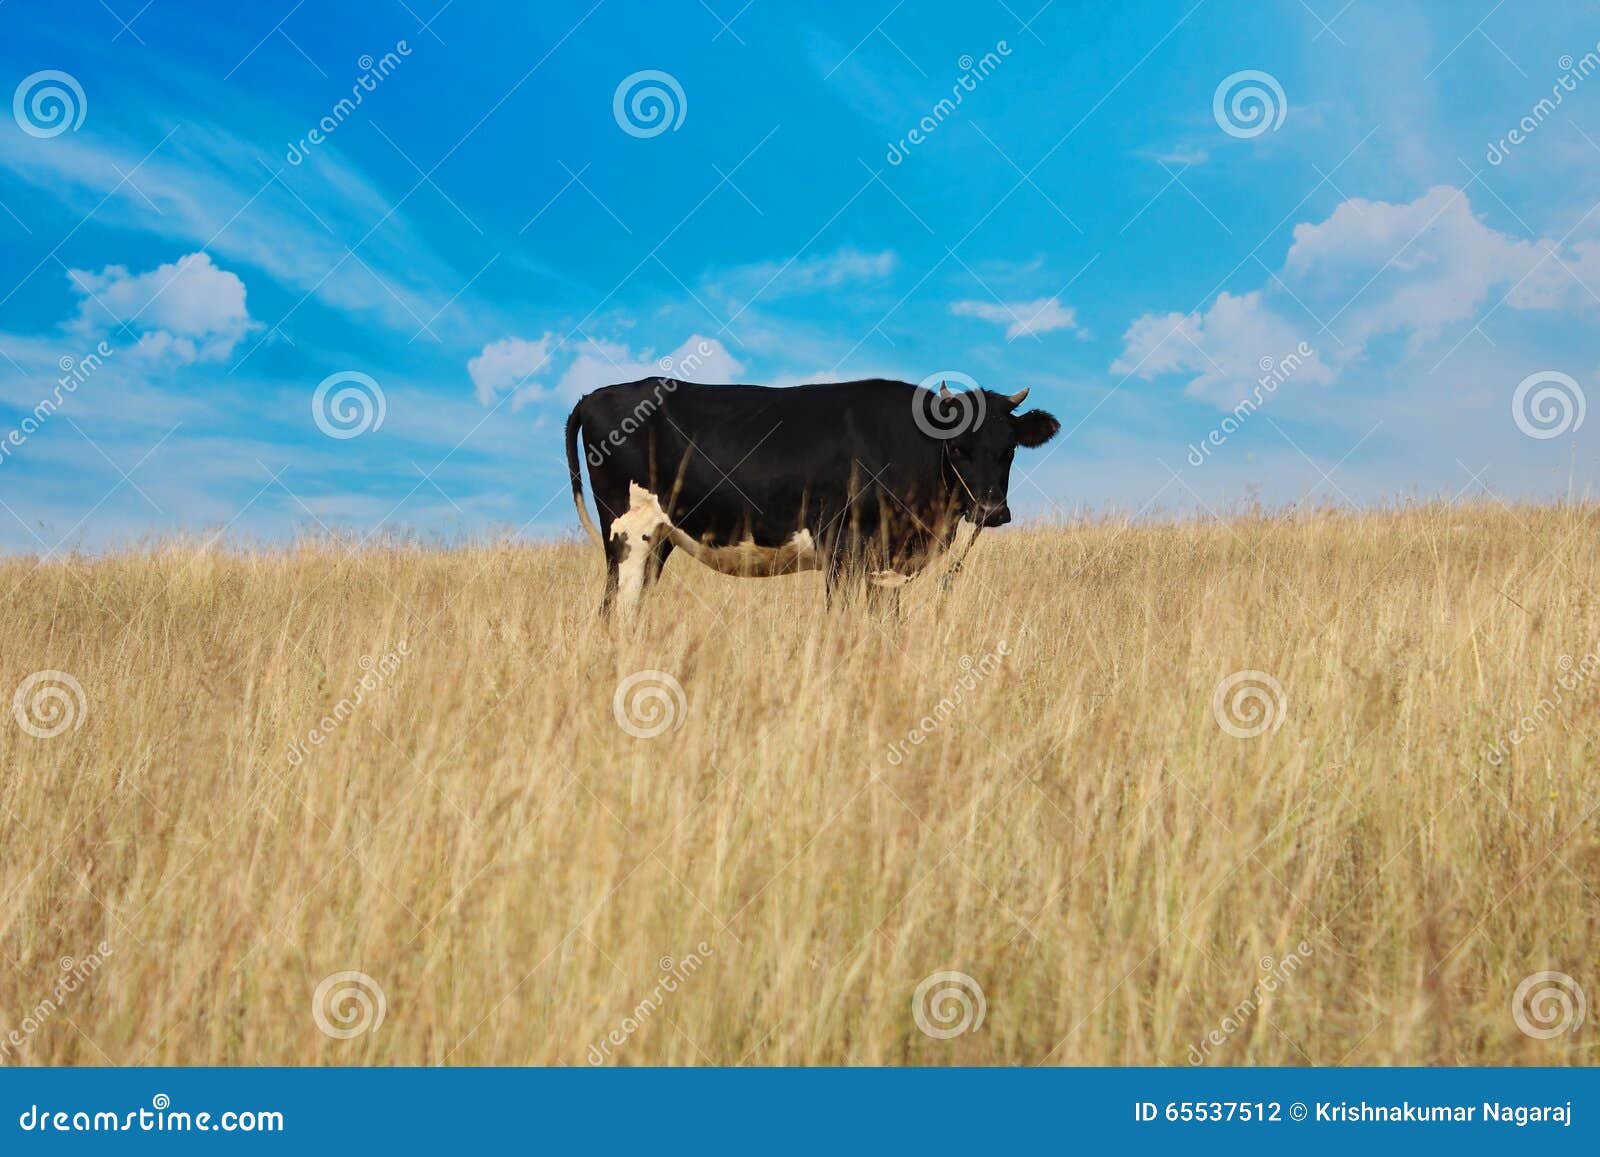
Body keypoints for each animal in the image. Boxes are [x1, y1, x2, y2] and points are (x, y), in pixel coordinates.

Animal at [564, 377, 1060, 617]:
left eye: (1009, 448)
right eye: (957, 447)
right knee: (615, 609)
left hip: (659, 540)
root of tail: (594, 395)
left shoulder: (885, 562)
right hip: (627, 534)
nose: (992, 510)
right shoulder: (841, 545)